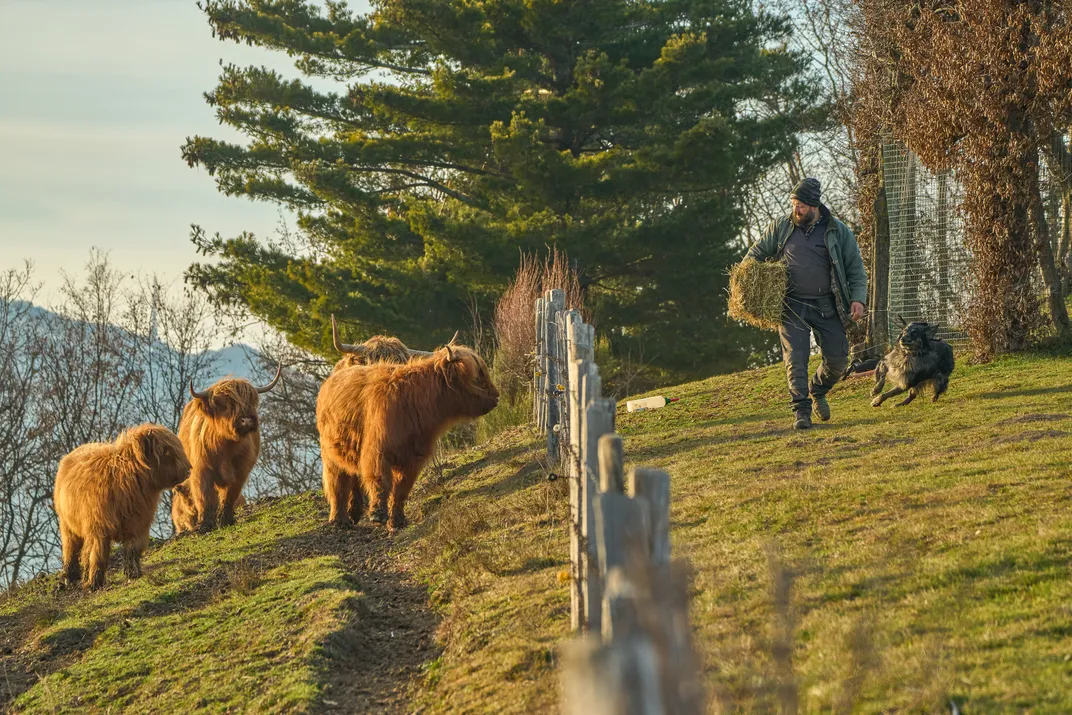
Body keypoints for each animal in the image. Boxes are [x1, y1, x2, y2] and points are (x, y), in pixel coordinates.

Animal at [54, 424, 191, 589]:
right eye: (165, 450)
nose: (189, 469)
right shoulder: (98, 529)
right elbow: (96, 554)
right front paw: (94, 582)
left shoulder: (137, 524)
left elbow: (132, 550)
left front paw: (133, 573)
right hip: (67, 525)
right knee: (70, 549)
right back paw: (70, 577)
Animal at [171, 366, 281, 533]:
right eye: (224, 404)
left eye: (251, 401)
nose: (246, 420)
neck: (226, 447)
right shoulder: (201, 470)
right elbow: (204, 496)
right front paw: (204, 525)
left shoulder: (241, 471)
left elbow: (230, 495)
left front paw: (225, 520)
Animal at [316, 340, 499, 530]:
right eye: (477, 377)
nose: (496, 396)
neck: (414, 400)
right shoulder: (377, 451)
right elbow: (380, 481)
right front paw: (377, 514)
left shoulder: (414, 458)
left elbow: (401, 489)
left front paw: (397, 521)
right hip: (330, 454)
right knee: (338, 484)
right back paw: (339, 520)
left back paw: (354, 513)